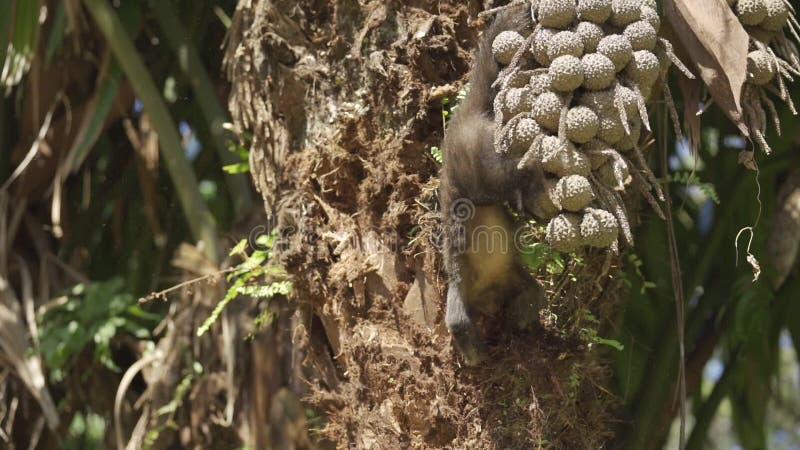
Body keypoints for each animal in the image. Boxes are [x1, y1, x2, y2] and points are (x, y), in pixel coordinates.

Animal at [439, 5, 546, 366]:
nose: (494, 313)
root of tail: (464, 117)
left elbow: (457, 321)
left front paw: (476, 352)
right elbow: (533, 298)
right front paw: (518, 319)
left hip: (479, 158)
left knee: (505, 172)